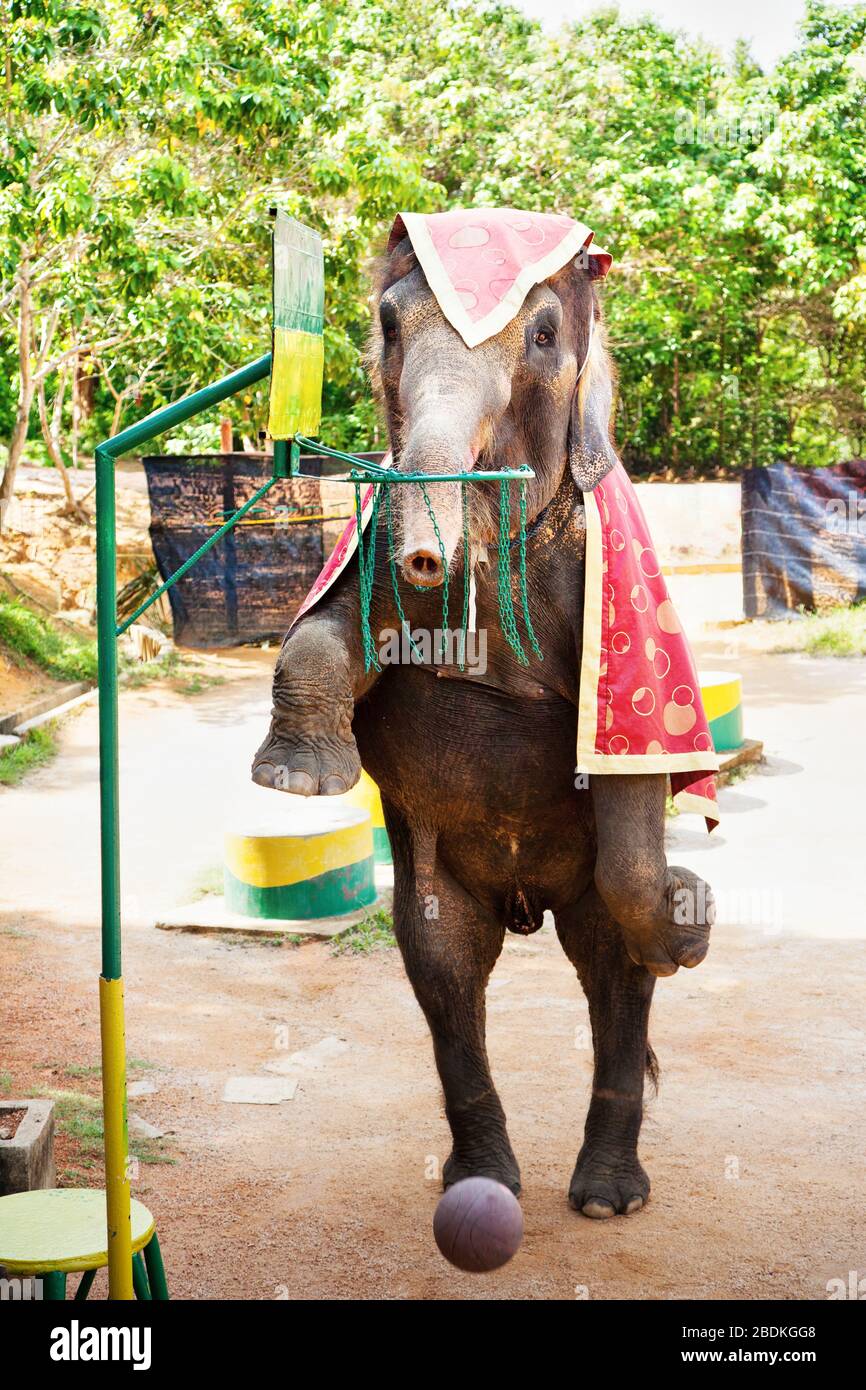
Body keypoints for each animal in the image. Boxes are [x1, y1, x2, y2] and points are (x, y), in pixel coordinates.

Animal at [251, 234, 714, 1218]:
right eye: (387, 325)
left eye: (542, 336)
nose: (430, 557)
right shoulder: (375, 548)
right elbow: (333, 628)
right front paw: (297, 782)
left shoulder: (610, 590)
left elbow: (628, 786)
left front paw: (686, 906)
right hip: (444, 897)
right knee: (441, 958)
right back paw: (483, 1182)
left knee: (611, 963)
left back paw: (607, 1197)